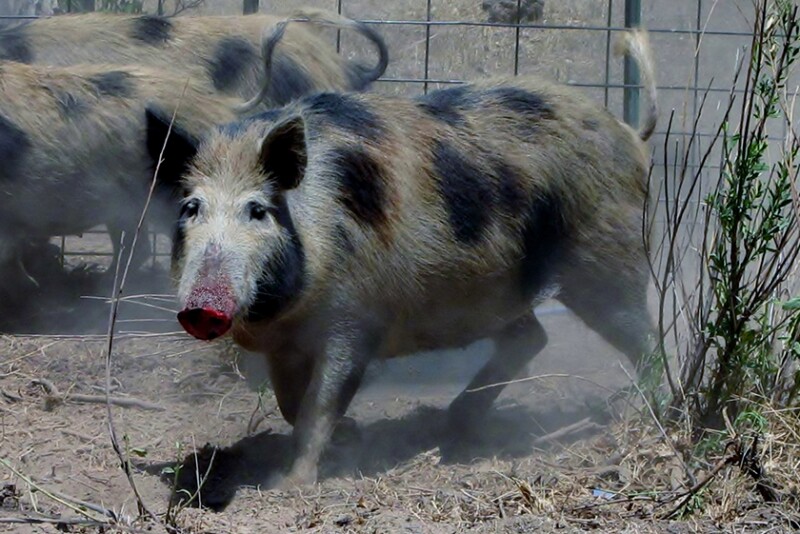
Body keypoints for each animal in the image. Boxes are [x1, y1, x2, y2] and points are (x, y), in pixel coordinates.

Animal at [152, 27, 658, 487]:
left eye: (257, 210)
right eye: (191, 208)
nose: (202, 307)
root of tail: (631, 135)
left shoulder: (356, 318)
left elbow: (320, 403)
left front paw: (290, 485)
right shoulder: (284, 345)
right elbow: (290, 403)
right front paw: (349, 436)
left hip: (605, 259)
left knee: (645, 339)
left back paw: (640, 411)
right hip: (498, 292)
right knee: (532, 337)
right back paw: (452, 422)